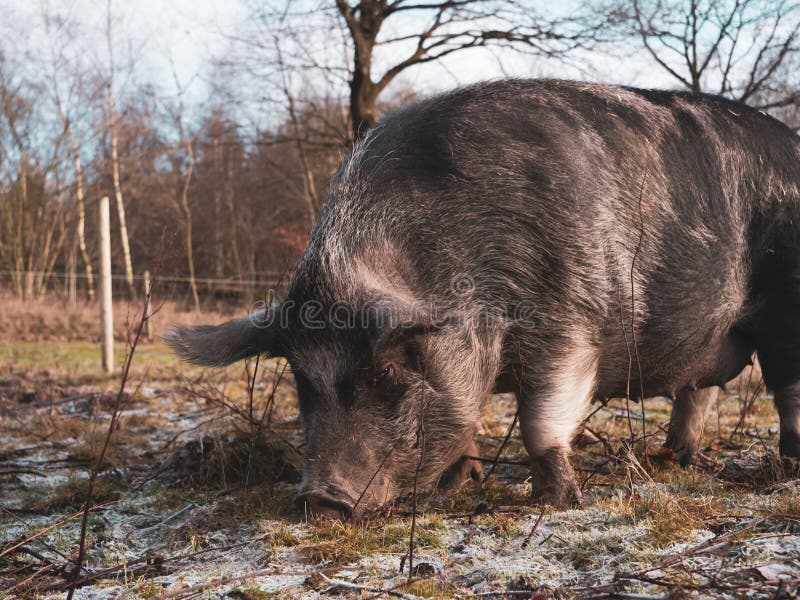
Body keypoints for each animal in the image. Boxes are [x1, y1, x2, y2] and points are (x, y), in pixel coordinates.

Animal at [166, 79, 800, 519]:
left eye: (386, 370)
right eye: (300, 378)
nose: (320, 501)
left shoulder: (572, 323)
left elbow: (540, 422)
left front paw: (557, 500)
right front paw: (459, 485)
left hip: (786, 308)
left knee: (785, 391)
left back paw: (785, 468)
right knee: (699, 392)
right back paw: (677, 459)